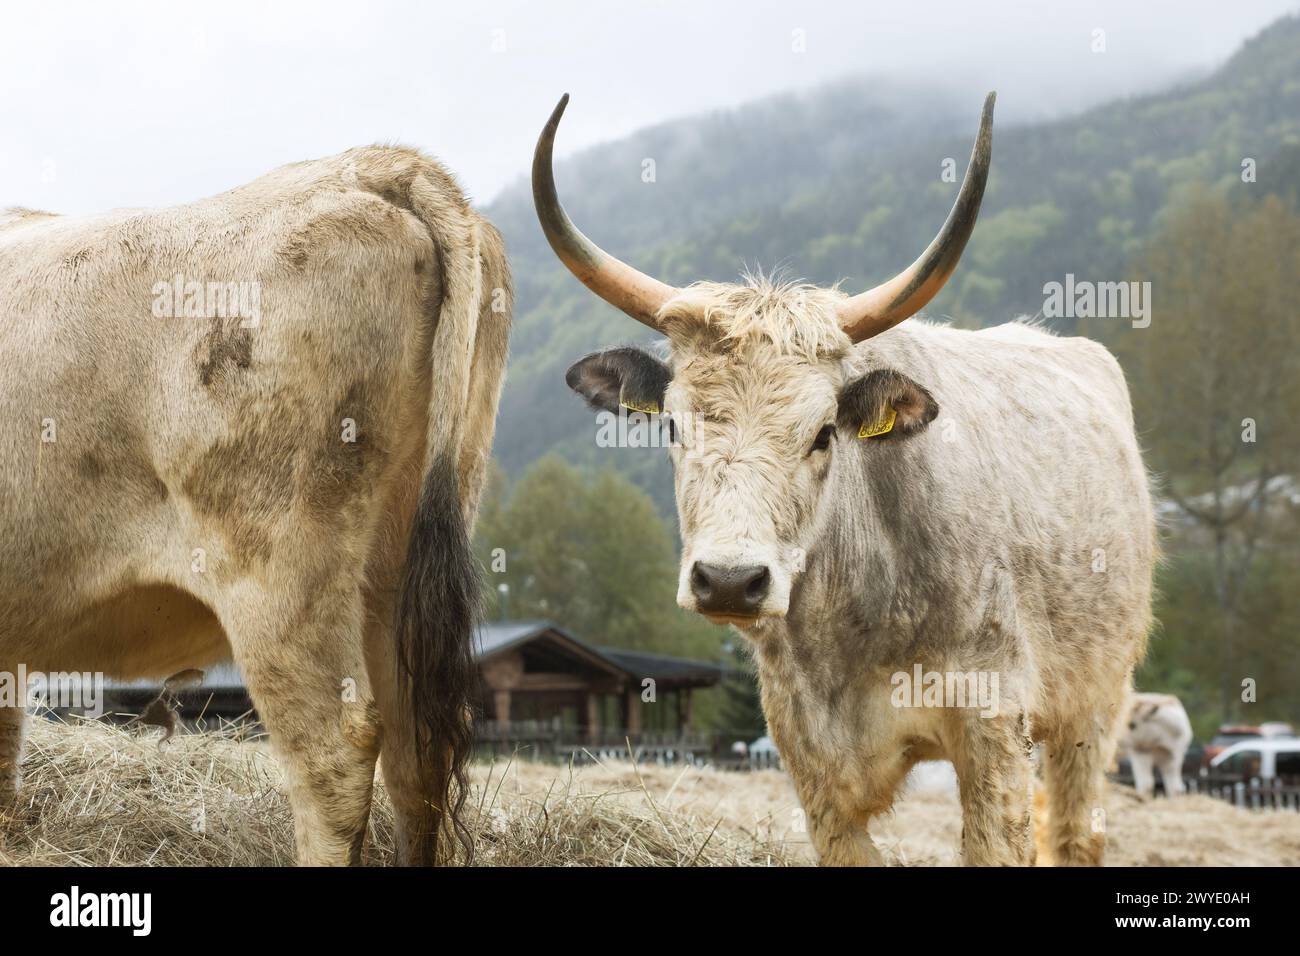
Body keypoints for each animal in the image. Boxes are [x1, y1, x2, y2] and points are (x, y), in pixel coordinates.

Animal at [534, 93, 1155, 866]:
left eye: (825, 432)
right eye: (673, 427)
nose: (730, 581)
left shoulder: (993, 726)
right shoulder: (810, 757)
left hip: (1092, 708)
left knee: (1073, 829)